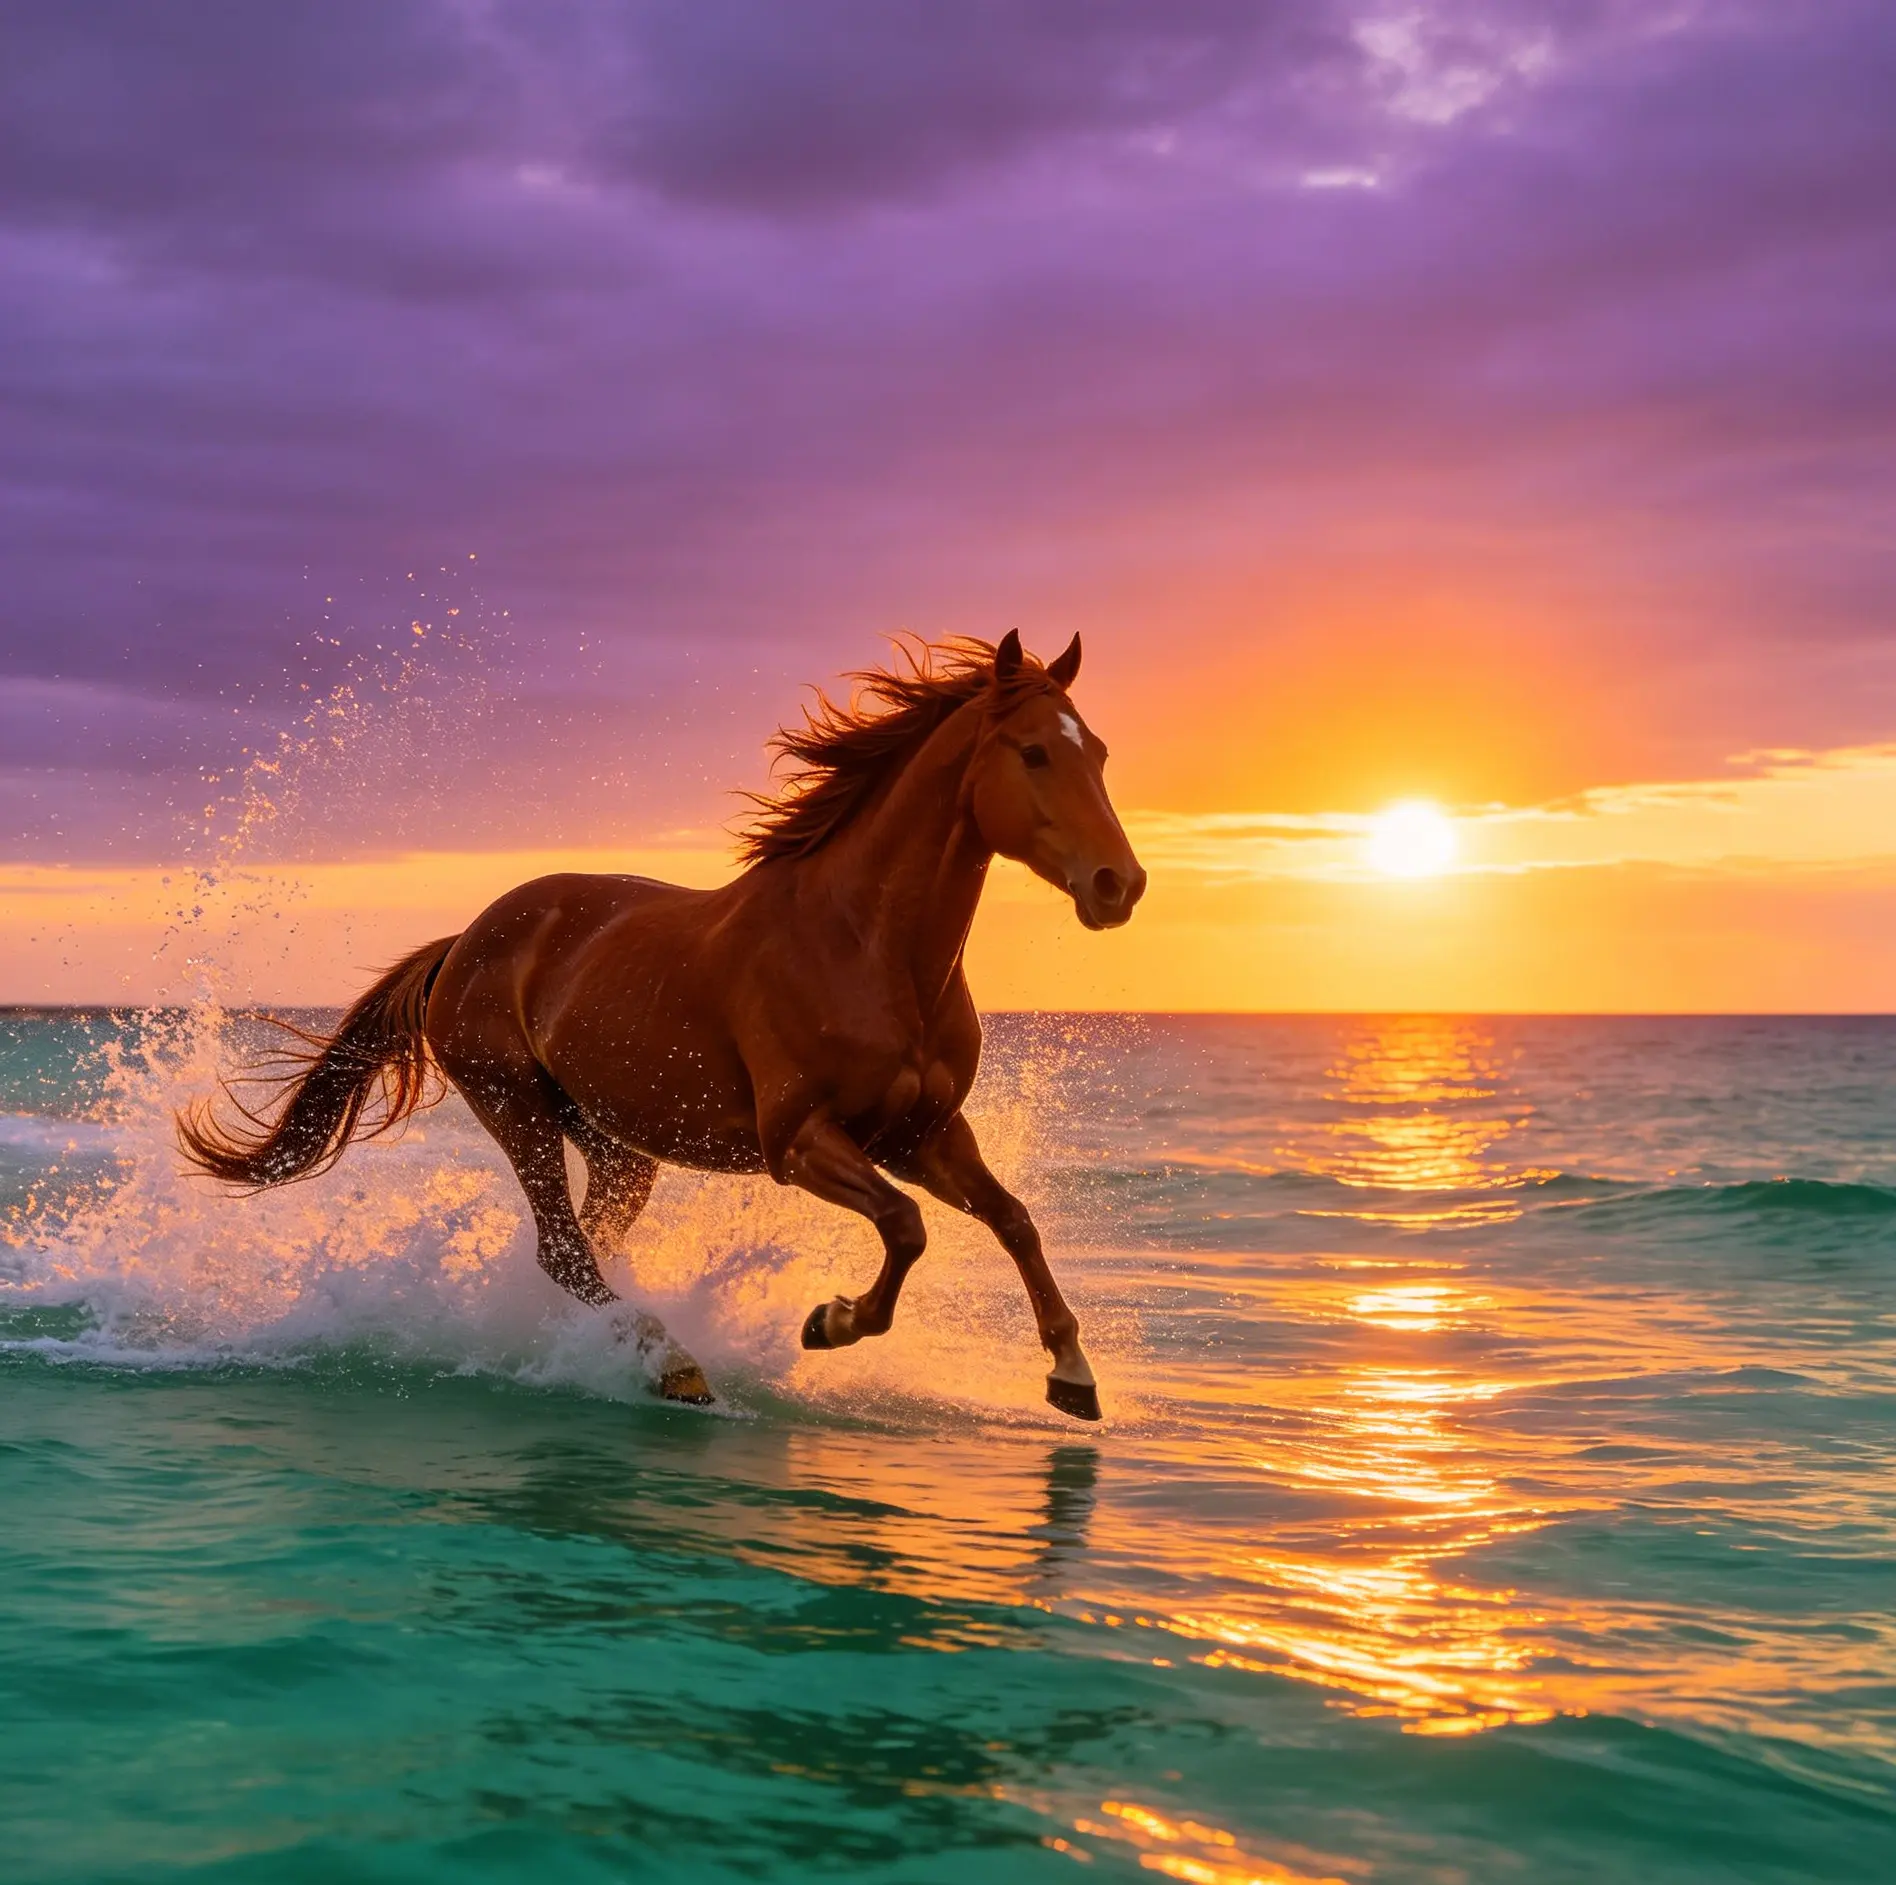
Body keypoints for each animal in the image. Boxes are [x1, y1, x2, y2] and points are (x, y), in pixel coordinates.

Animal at [179, 631, 1146, 1418]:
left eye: (1099, 751)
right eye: (1032, 752)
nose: (1119, 884)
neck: (867, 947)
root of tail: (466, 942)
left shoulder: (922, 1133)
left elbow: (1013, 1218)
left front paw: (1074, 1375)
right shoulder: (800, 1139)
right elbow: (907, 1225)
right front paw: (830, 1320)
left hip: (615, 1142)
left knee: (584, 1246)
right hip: (512, 1103)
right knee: (563, 1251)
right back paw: (673, 1364)